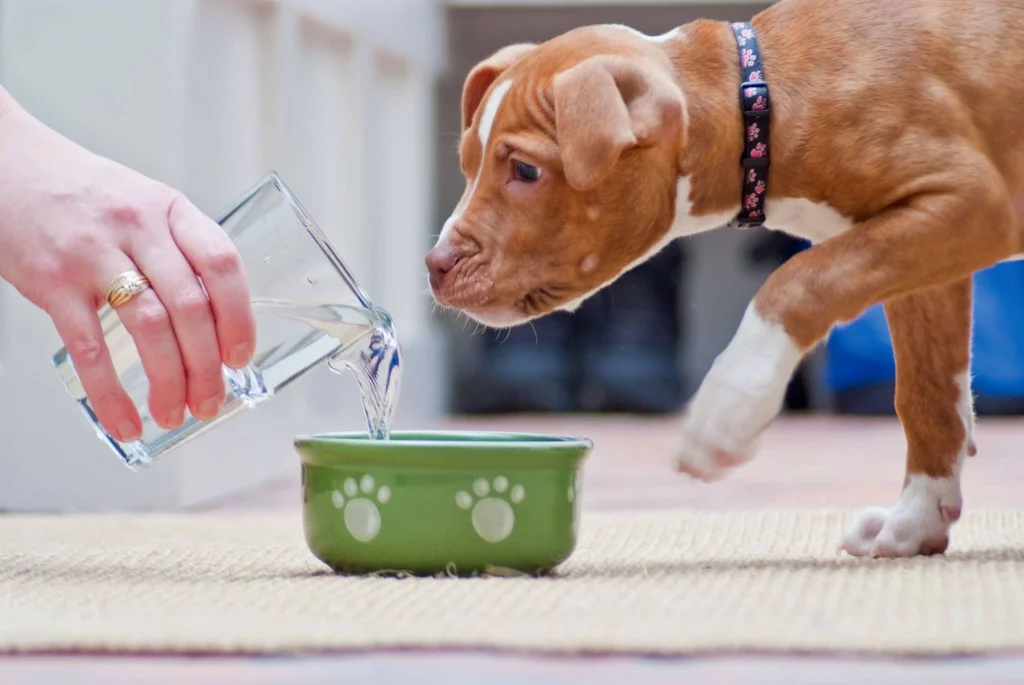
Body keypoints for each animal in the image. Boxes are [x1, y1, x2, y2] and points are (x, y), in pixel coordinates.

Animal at [423, 0, 1024, 557]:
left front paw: (729, 408)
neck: (760, 100)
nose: (435, 264)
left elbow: (798, 279)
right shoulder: (926, 259)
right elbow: (926, 394)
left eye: (525, 170)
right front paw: (917, 520)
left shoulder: (966, 203)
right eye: (467, 163)